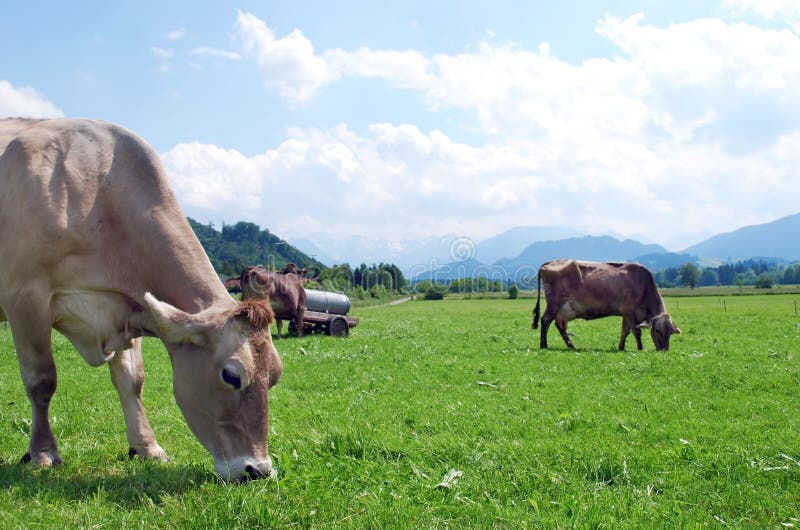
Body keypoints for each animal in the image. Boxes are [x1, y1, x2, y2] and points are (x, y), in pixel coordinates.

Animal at [0, 118, 282, 481]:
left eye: (275, 375)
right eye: (231, 376)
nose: (258, 469)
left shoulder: (127, 306)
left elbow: (131, 380)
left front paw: (147, 447)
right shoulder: (26, 296)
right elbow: (41, 381)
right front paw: (42, 452)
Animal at [531, 259, 680, 351]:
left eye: (671, 332)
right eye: (657, 330)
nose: (664, 350)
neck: (642, 285)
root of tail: (551, 261)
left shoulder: (626, 314)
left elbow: (625, 331)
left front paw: (621, 348)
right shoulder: (630, 311)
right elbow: (636, 331)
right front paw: (640, 348)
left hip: (565, 310)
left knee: (560, 326)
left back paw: (572, 346)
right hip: (554, 304)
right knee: (545, 320)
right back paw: (544, 345)